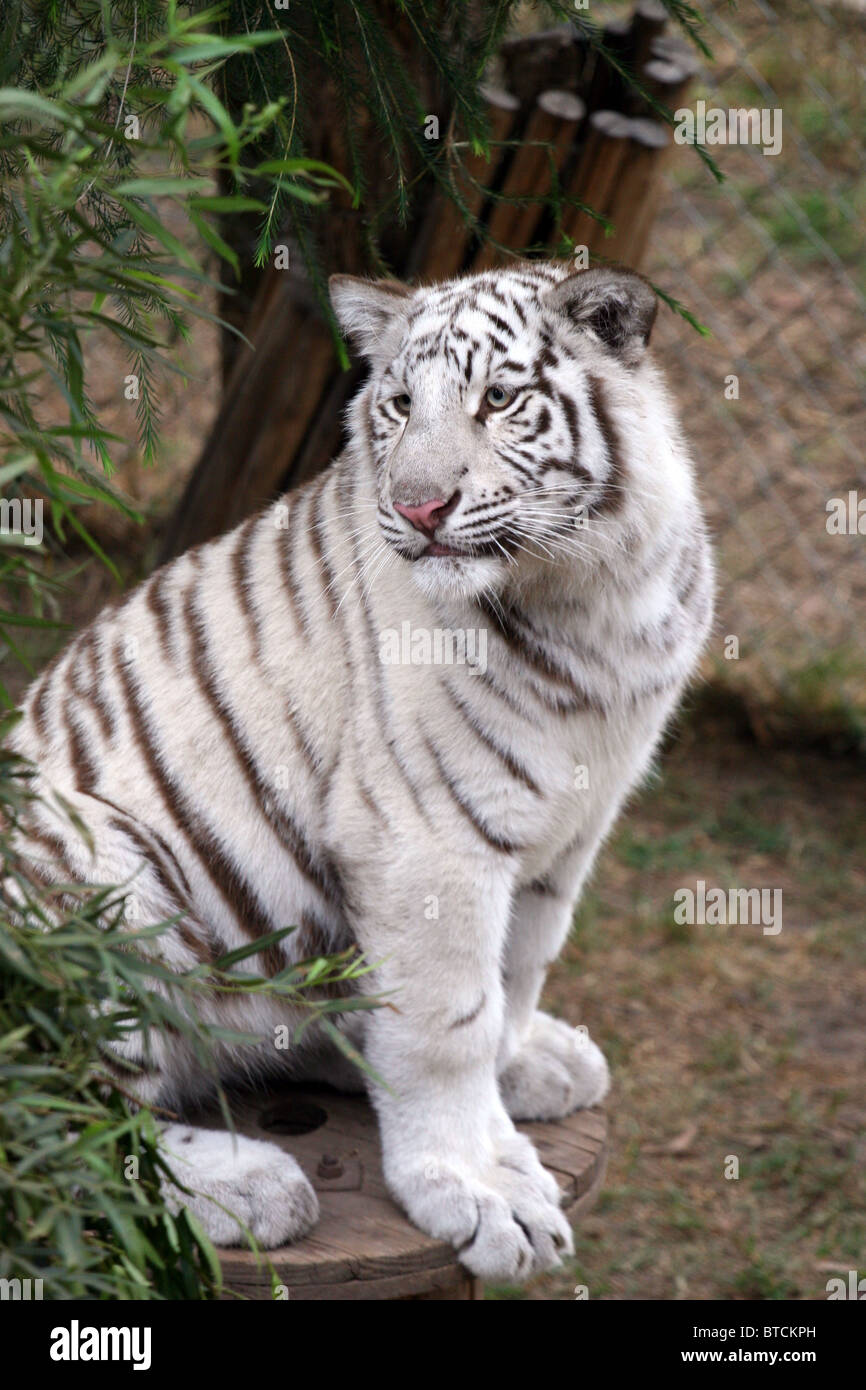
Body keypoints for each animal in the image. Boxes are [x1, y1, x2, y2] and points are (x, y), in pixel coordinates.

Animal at [7, 262, 713, 1283]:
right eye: (402, 405)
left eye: (499, 400)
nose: (419, 507)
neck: (591, 596)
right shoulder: (429, 839)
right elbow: (451, 1023)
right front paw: (482, 1190)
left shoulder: (570, 830)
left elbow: (517, 976)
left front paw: (519, 1072)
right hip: (98, 873)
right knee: (63, 1125)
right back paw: (248, 1187)